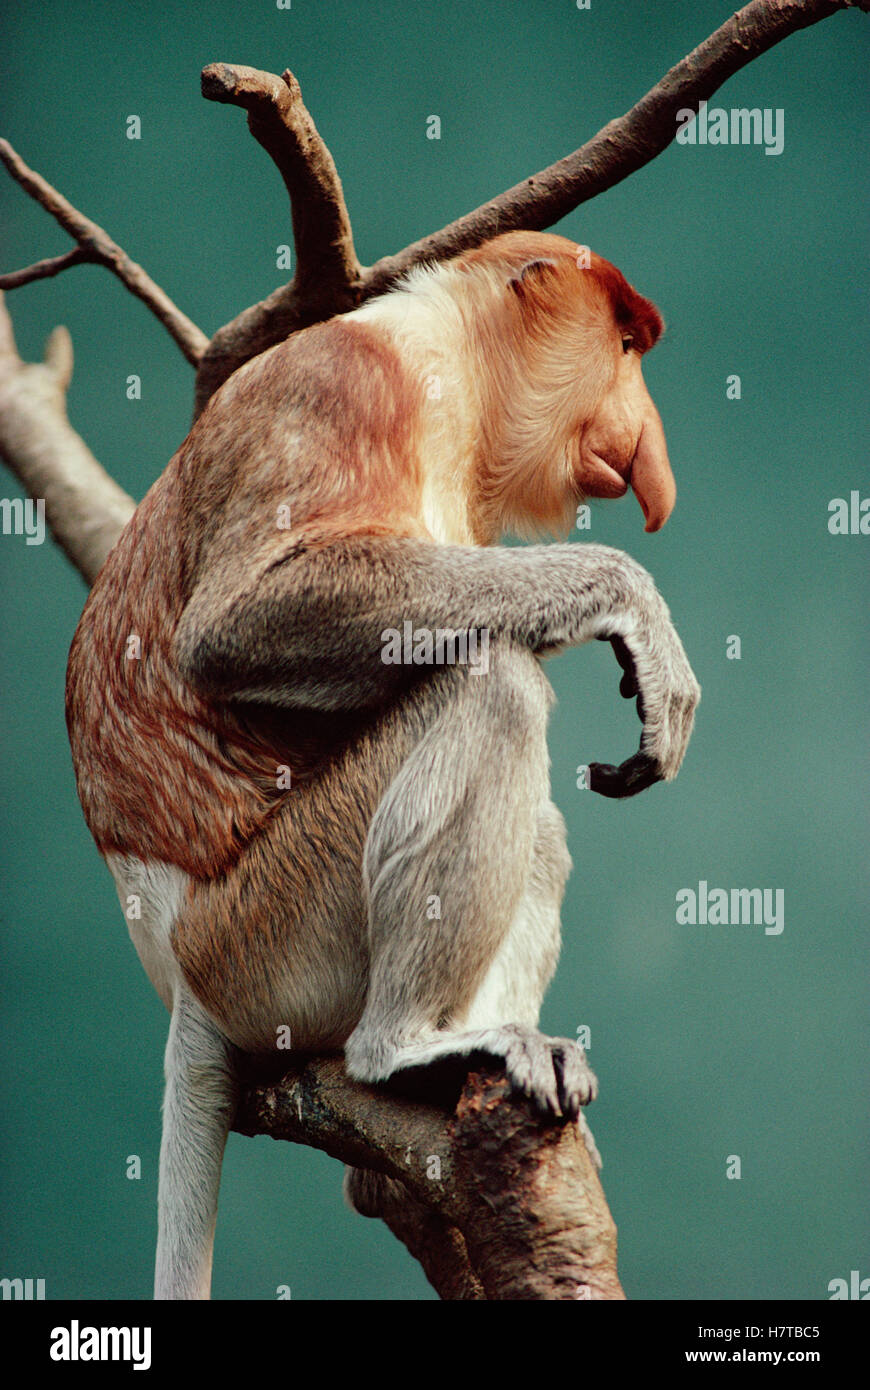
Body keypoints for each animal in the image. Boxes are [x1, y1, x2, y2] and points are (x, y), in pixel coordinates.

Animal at [65, 229, 700, 1300]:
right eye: (624, 343)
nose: (650, 451)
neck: (446, 366)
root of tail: (177, 968)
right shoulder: (342, 387)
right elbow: (235, 626)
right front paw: (633, 611)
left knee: (537, 814)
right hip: (264, 944)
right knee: (489, 679)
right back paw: (408, 1052)